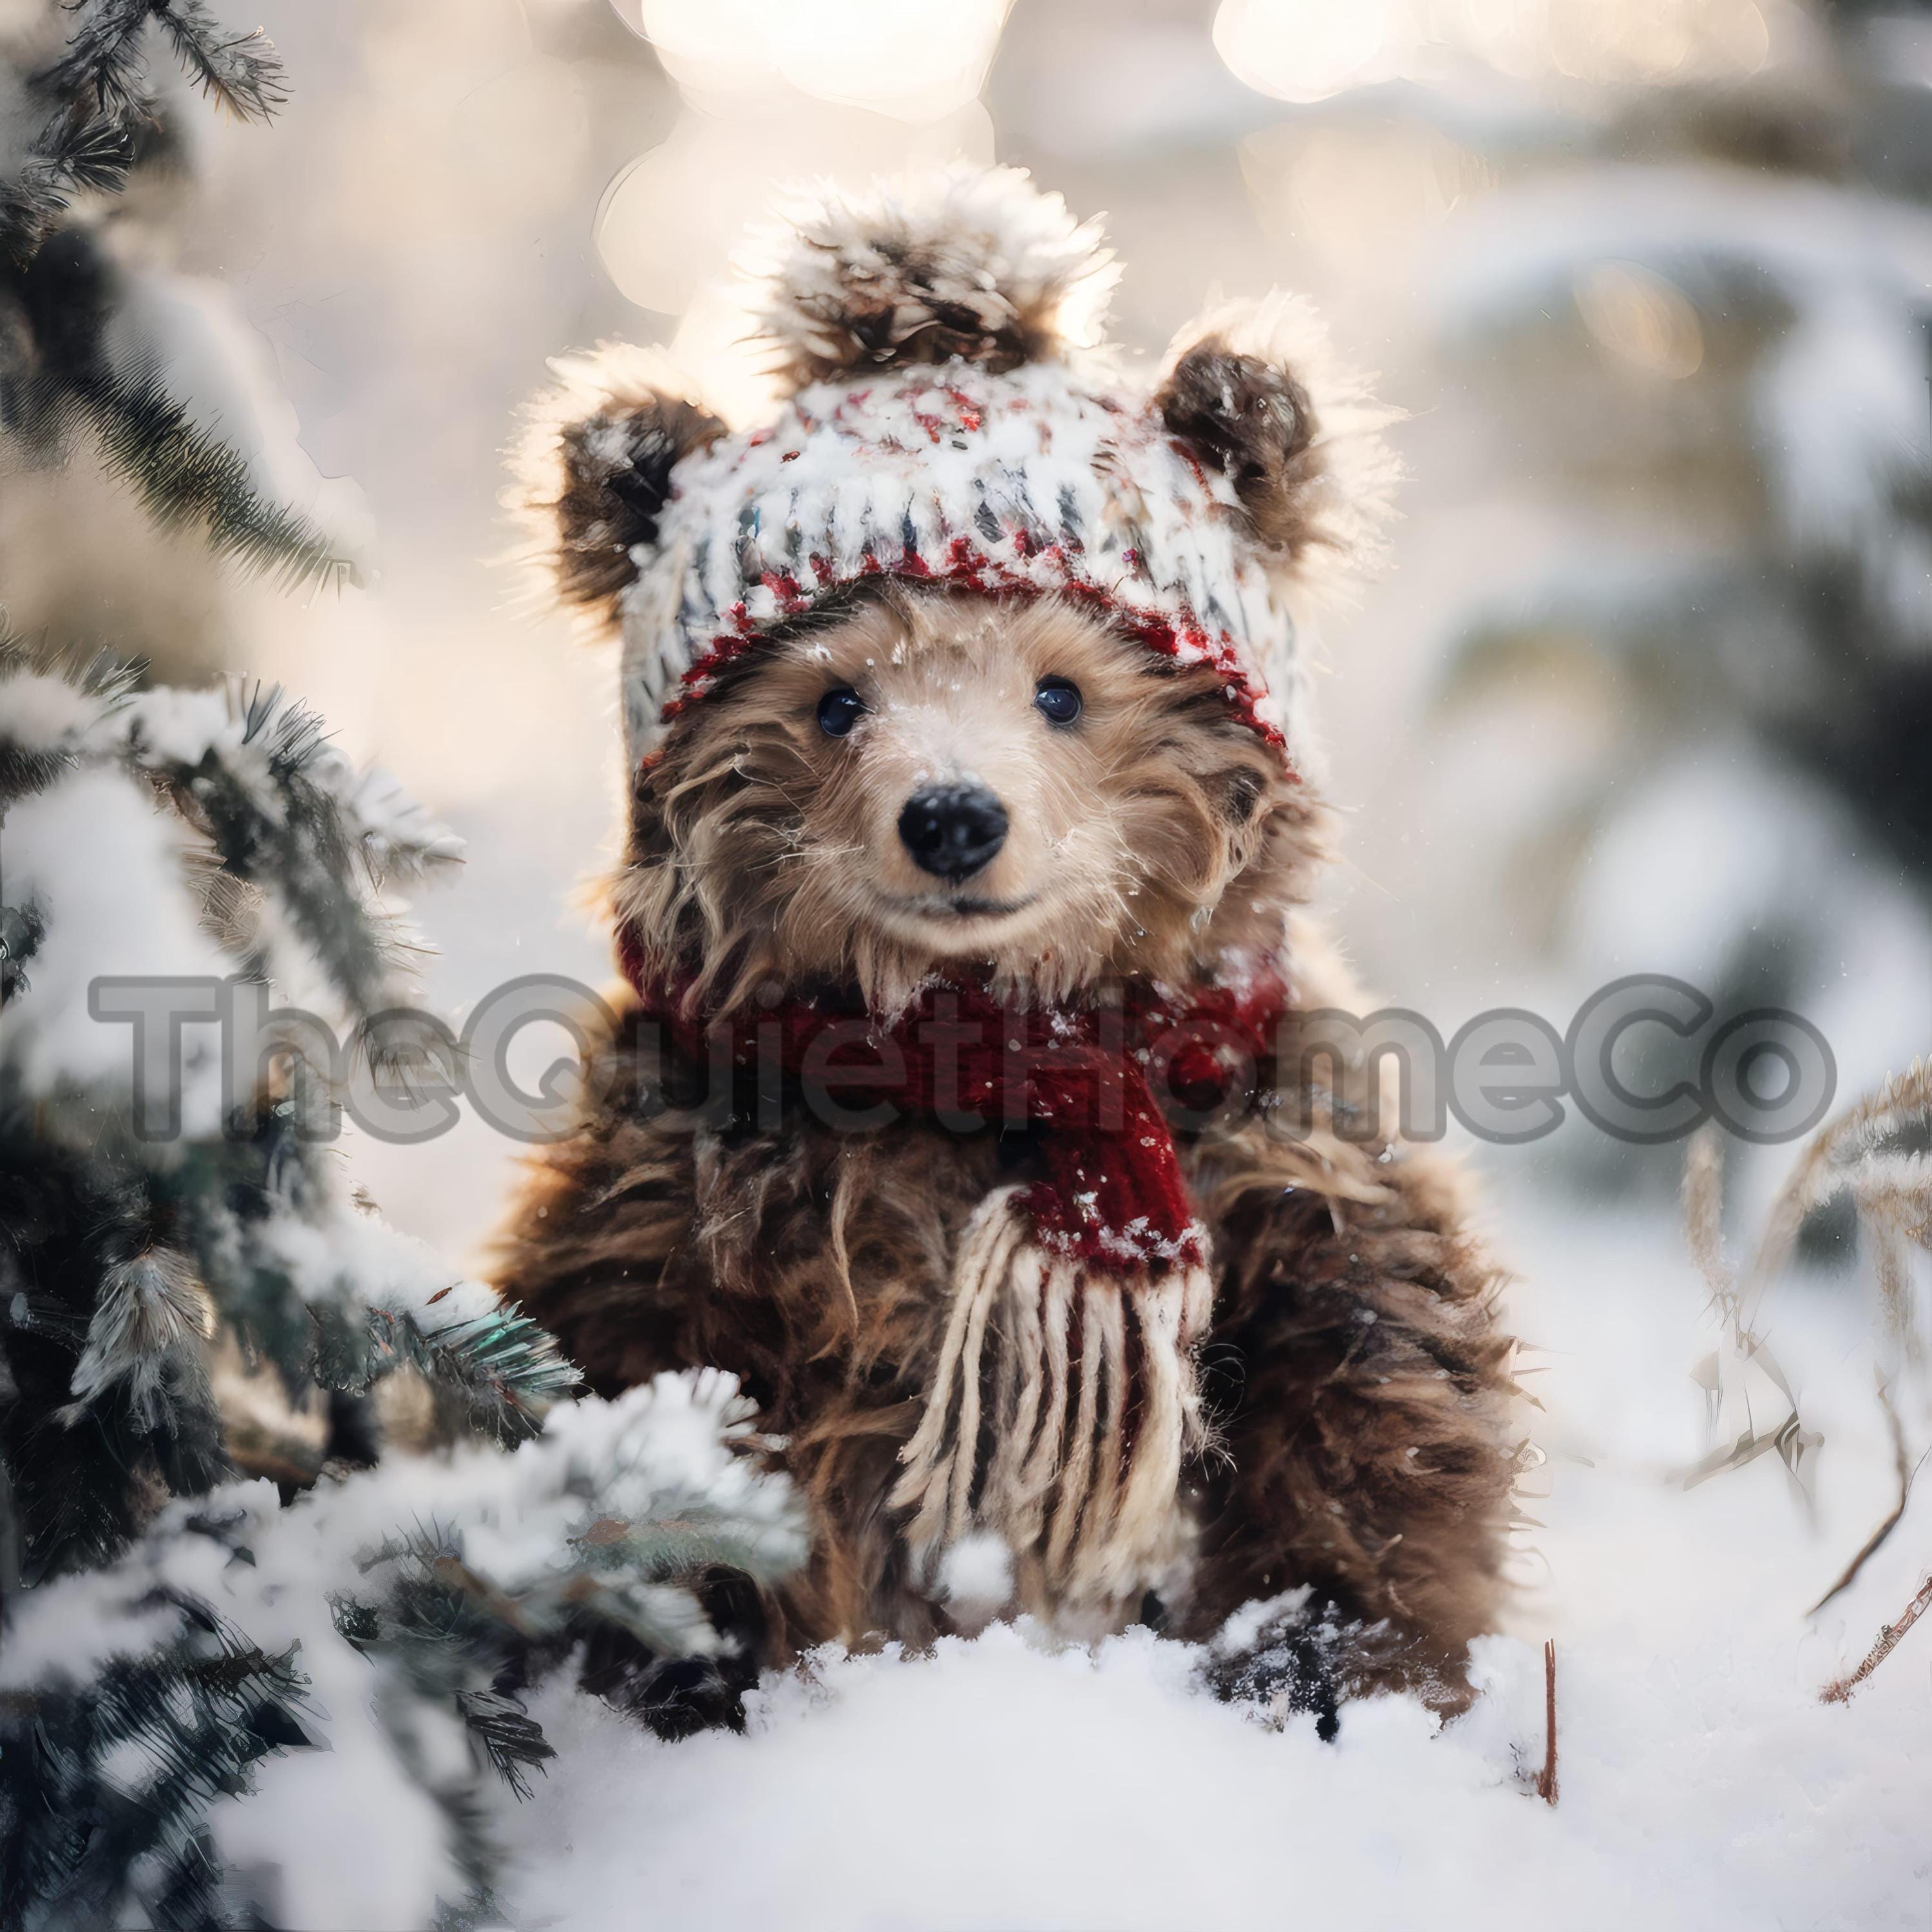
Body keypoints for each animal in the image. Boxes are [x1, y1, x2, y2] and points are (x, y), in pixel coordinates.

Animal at [494, 165, 1520, 1734]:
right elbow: (660, 1430)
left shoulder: (1282, 1154)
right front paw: (694, 1675)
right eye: (834, 699)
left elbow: (1376, 1411)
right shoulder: (682, 1215)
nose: (955, 814)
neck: (994, 1052)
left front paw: (1324, 1668)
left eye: (1063, 689)